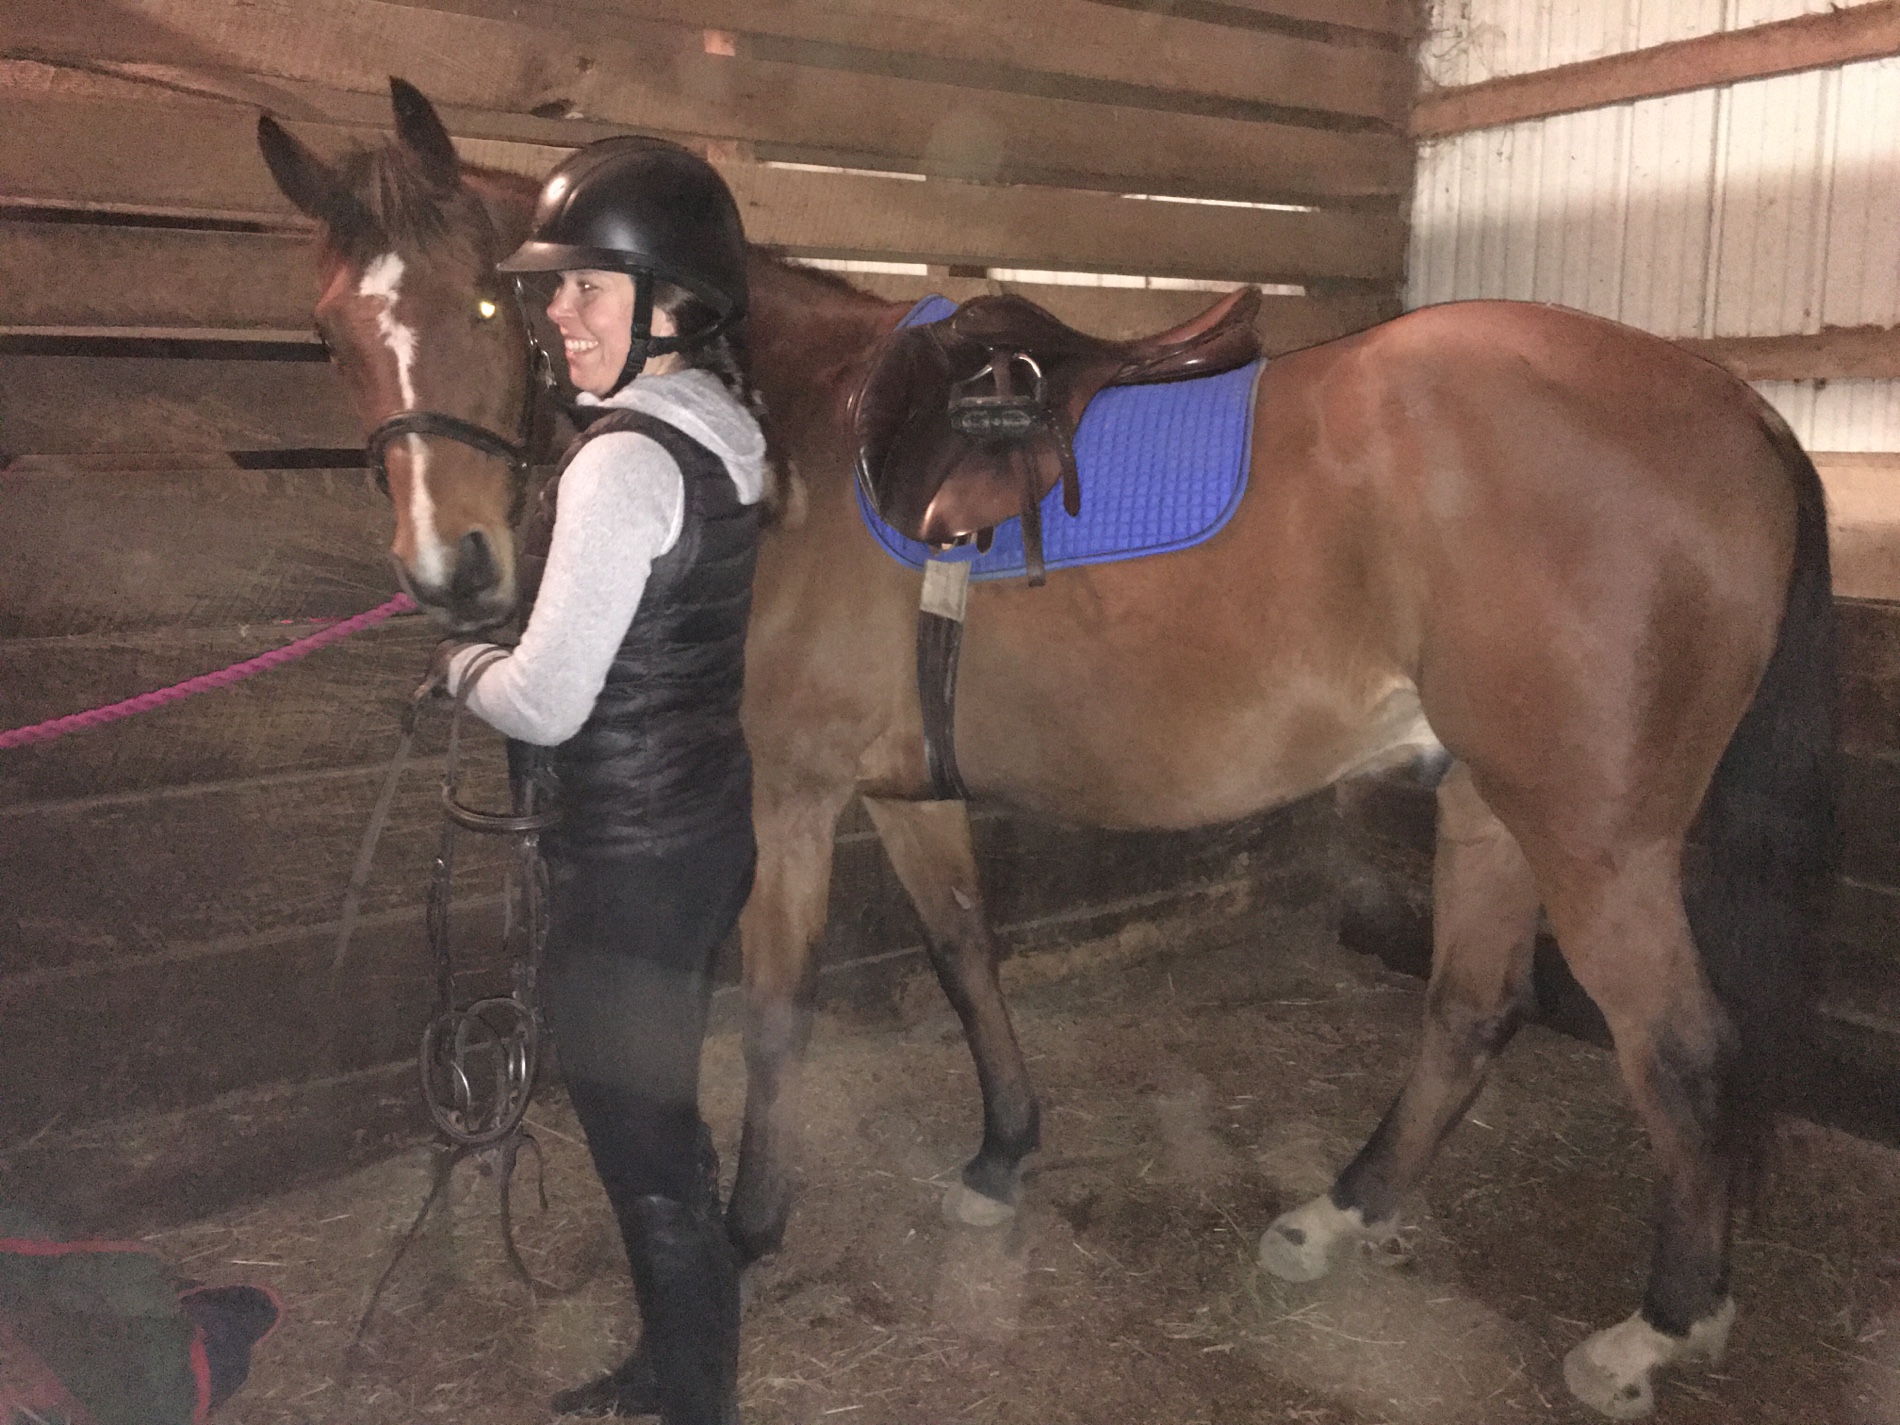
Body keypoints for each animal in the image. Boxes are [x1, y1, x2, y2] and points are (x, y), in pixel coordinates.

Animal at [258, 80, 1837, 1418]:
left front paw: (753, 1223)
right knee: (1469, 1009)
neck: (785, 435)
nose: (454, 576)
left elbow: (775, 1008)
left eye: (486, 299)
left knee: (1679, 1054)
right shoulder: (907, 794)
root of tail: (1735, 406)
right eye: (334, 332)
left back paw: (1655, 1328)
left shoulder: (794, 794)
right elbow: (967, 948)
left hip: (1595, 837)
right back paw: (1339, 1215)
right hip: (1493, 806)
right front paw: (1002, 1154)